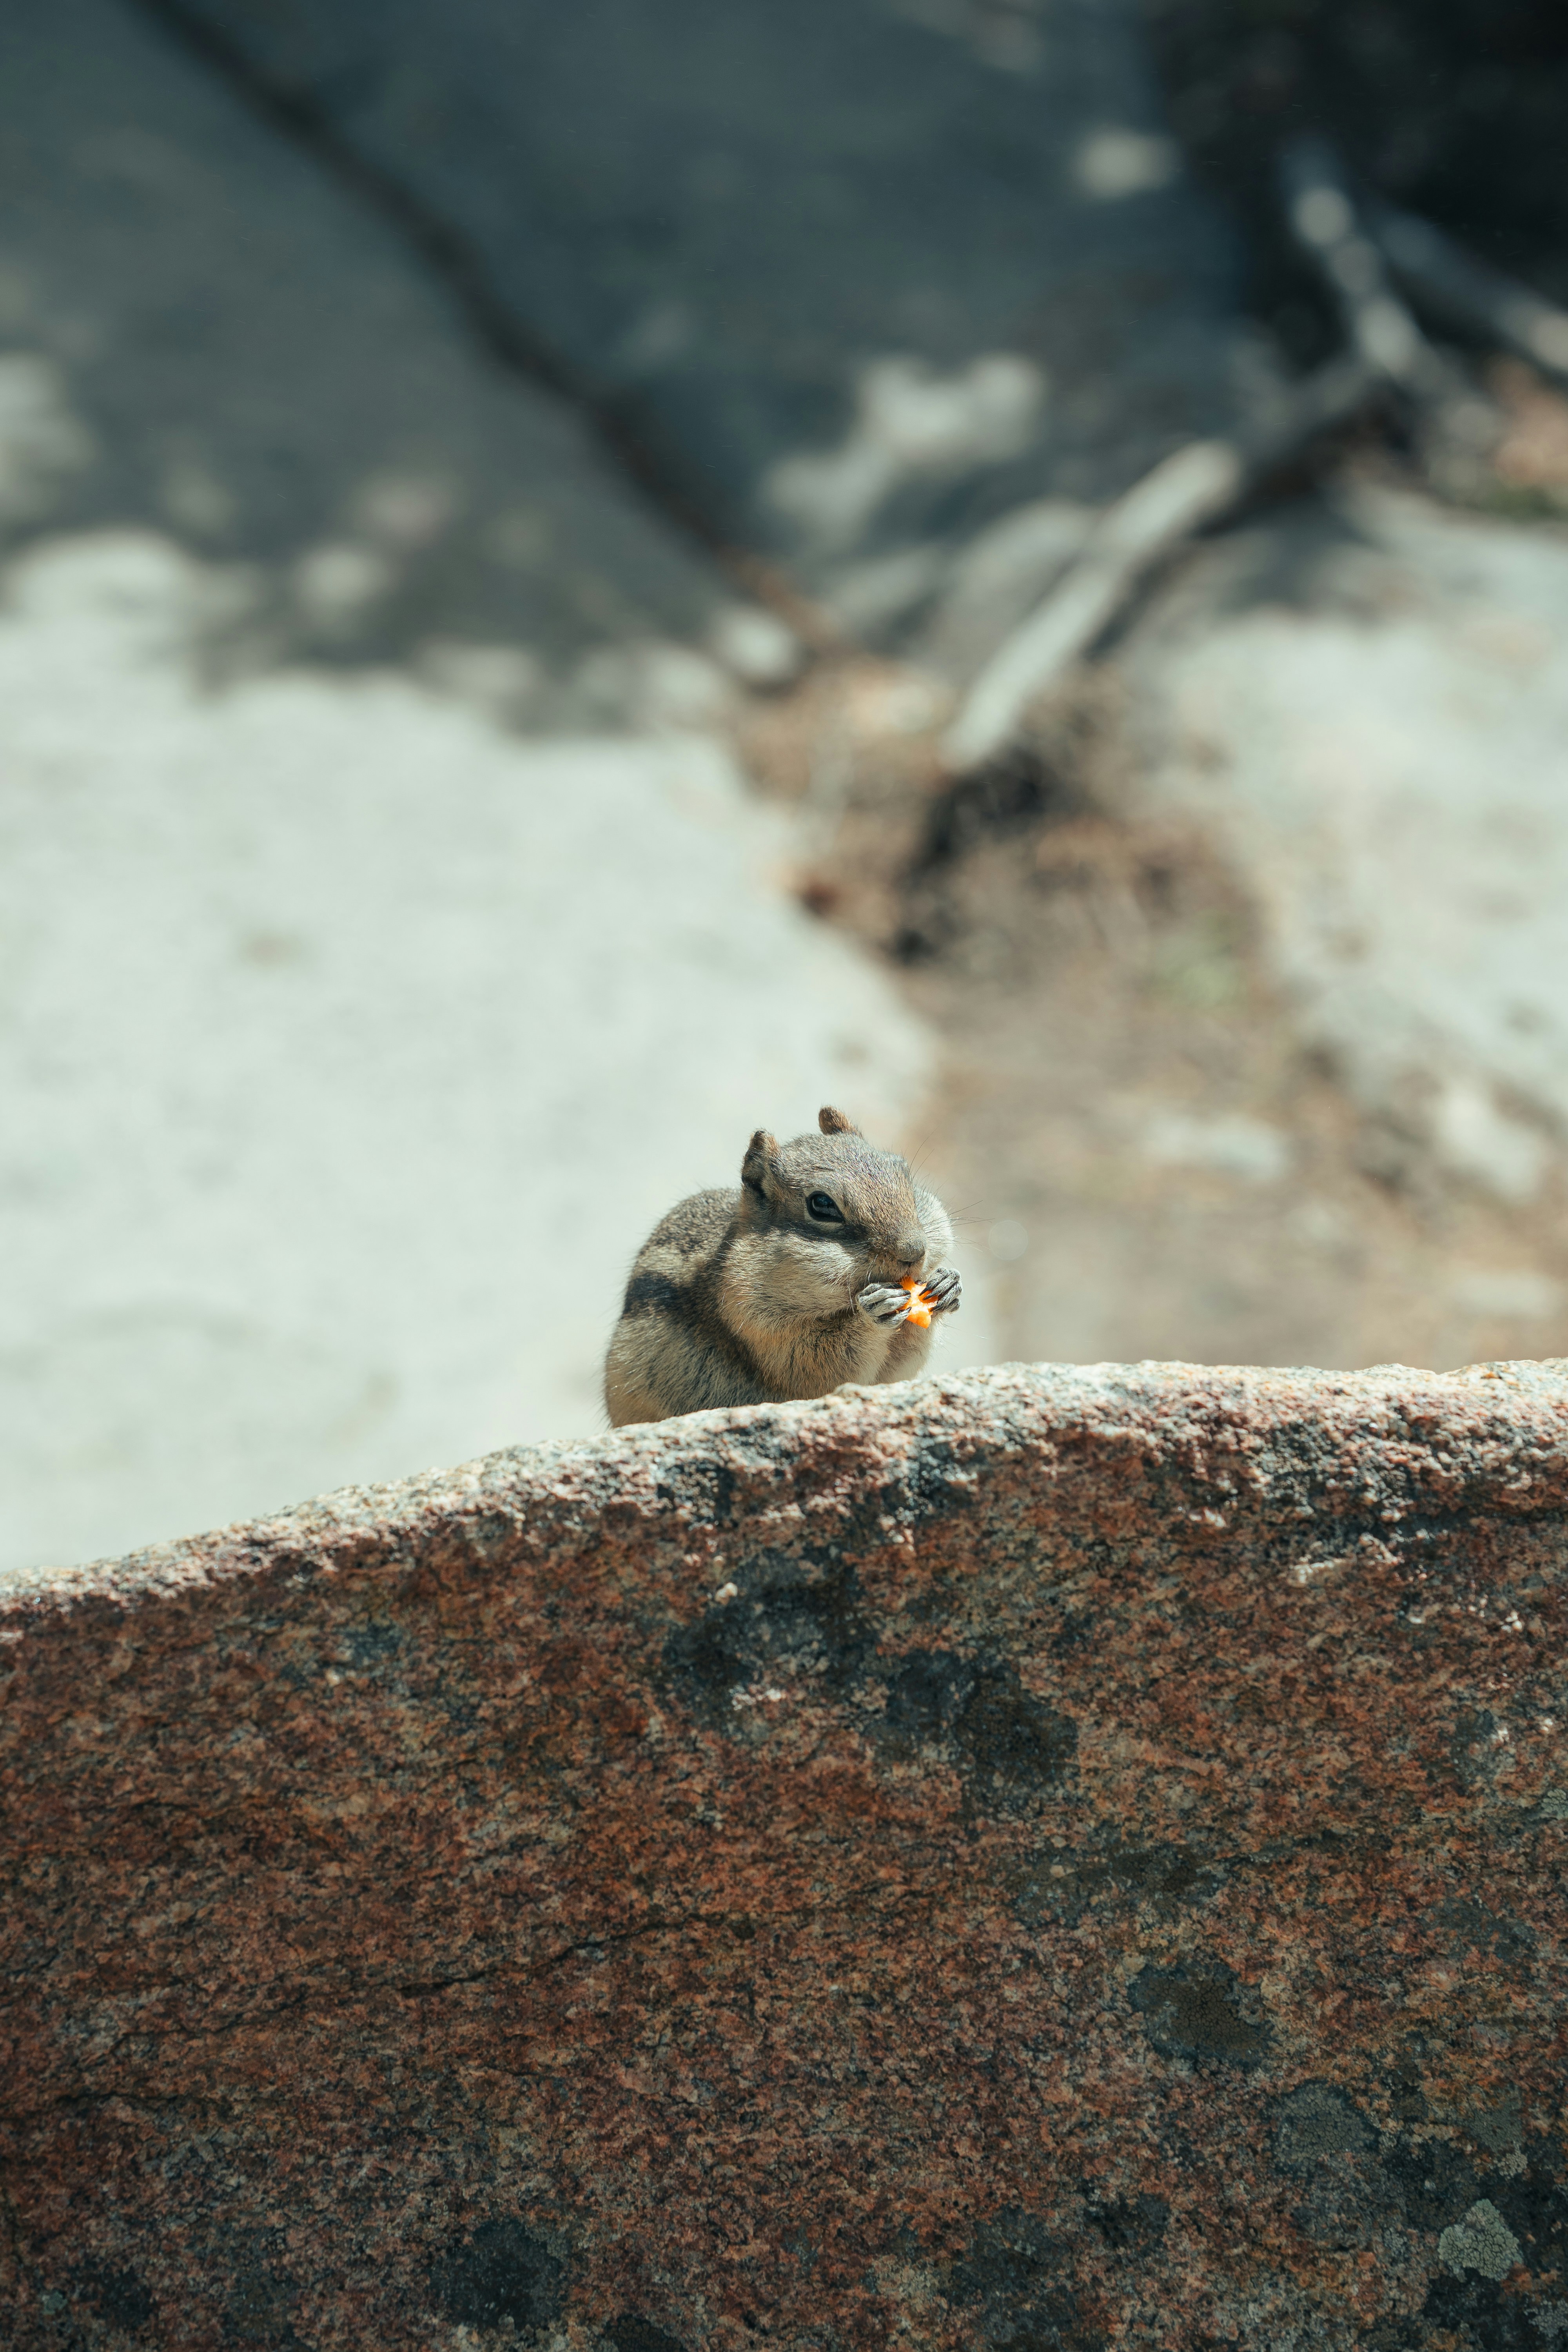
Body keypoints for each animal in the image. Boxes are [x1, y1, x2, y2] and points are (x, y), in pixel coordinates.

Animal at [603, 1106, 961, 1428]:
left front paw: (947, 1284)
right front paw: (874, 1309)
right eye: (822, 1205)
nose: (914, 1251)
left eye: (903, 1172)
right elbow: (818, 1368)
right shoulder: (756, 1324)